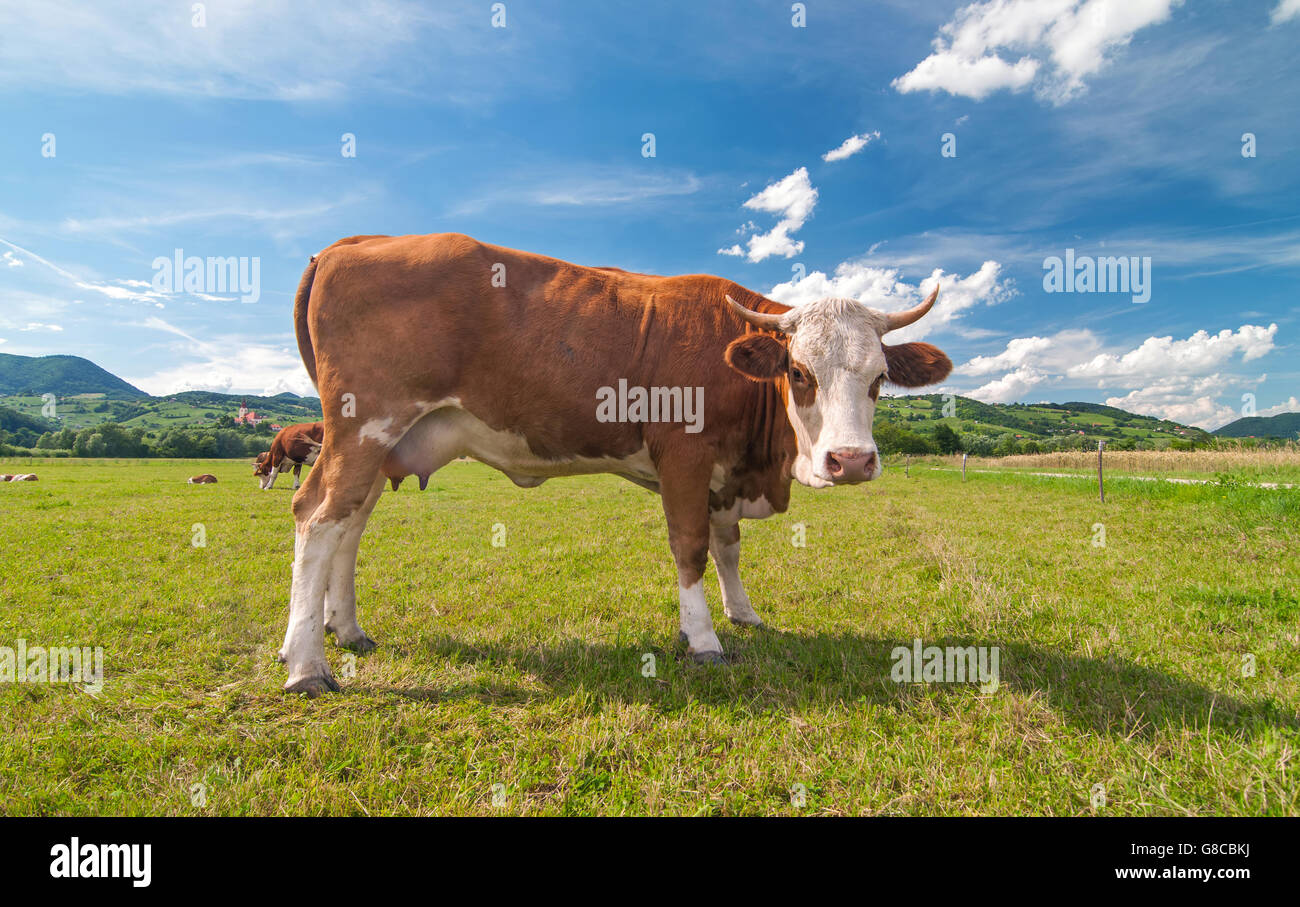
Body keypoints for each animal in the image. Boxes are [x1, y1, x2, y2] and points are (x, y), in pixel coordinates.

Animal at [277, 233, 951, 695]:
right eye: (800, 371)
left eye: (880, 378)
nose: (850, 461)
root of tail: (354, 242)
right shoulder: (684, 455)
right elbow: (691, 547)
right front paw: (703, 639)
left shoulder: (724, 473)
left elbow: (728, 547)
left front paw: (743, 614)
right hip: (364, 426)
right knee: (317, 517)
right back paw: (307, 664)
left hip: (381, 442)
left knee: (350, 525)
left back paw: (346, 630)